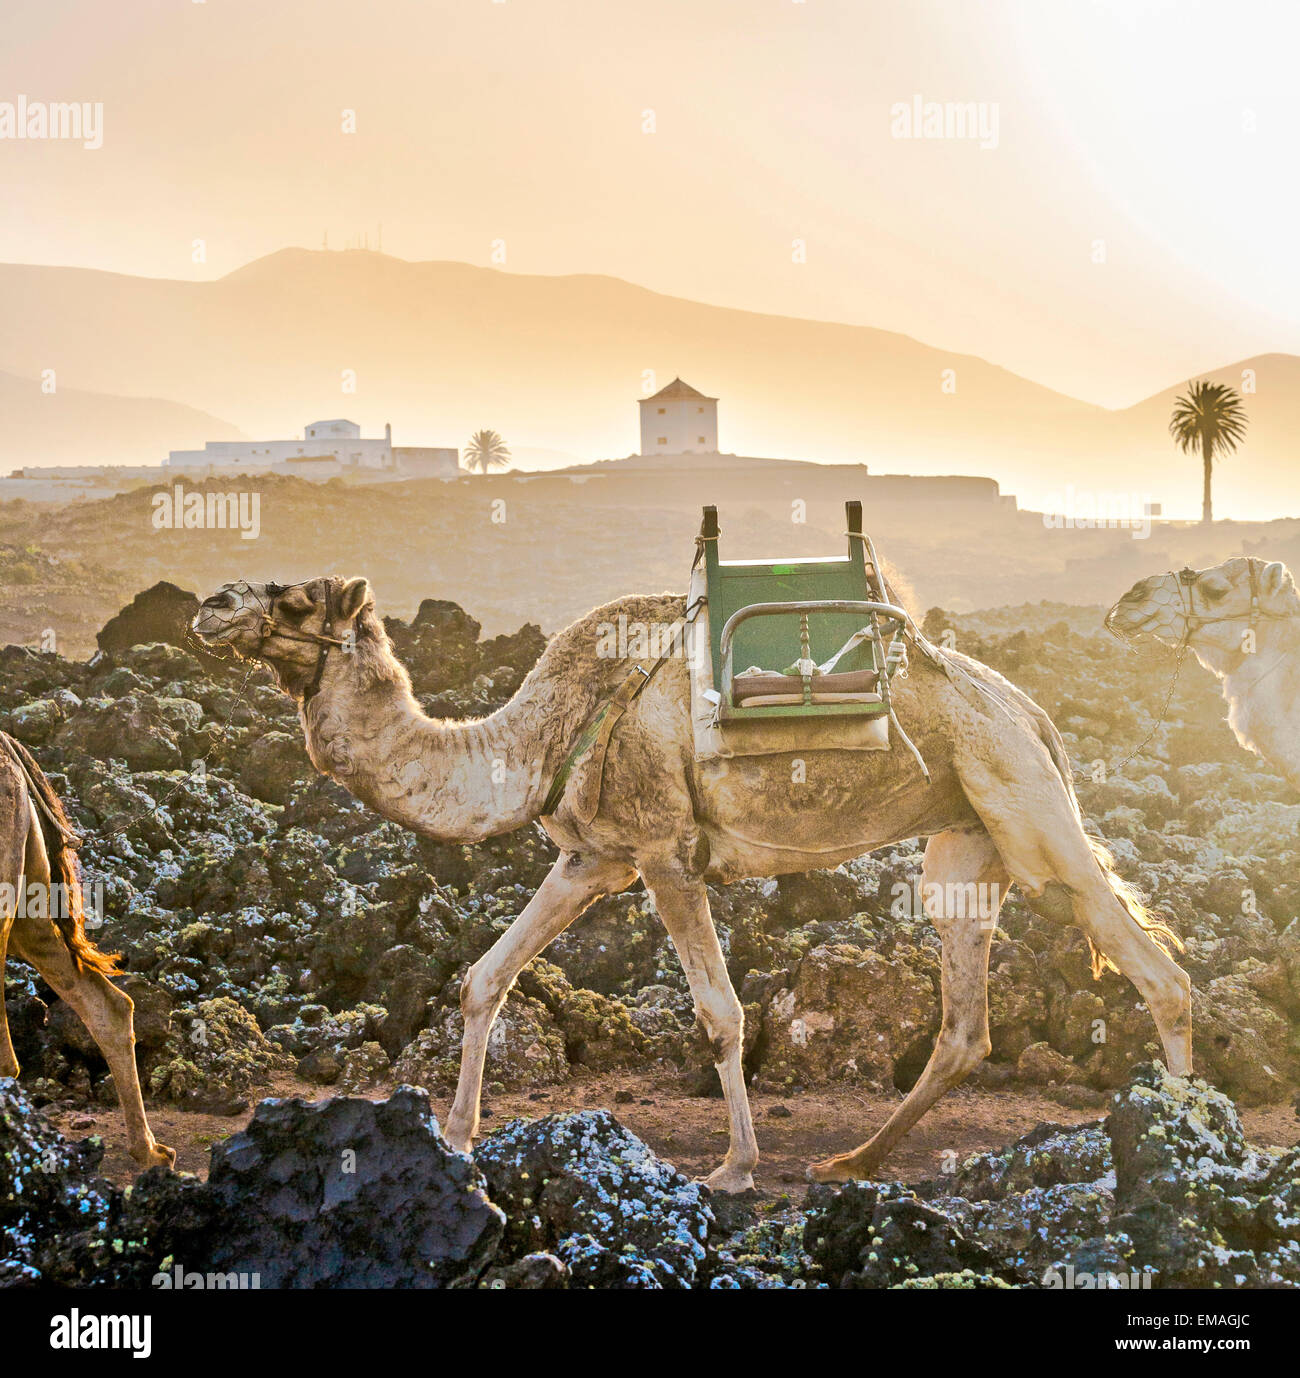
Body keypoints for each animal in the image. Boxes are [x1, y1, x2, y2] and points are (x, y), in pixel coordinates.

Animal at [192, 575, 1190, 1191]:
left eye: (293, 596)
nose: (207, 606)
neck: (538, 736)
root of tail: (1032, 712)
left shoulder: (666, 849)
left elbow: (722, 1014)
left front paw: (735, 1167)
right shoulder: (592, 858)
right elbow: (485, 978)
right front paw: (458, 1134)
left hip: (1027, 808)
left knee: (1158, 972)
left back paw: (1182, 1135)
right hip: (968, 837)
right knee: (967, 1022)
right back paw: (852, 1162)